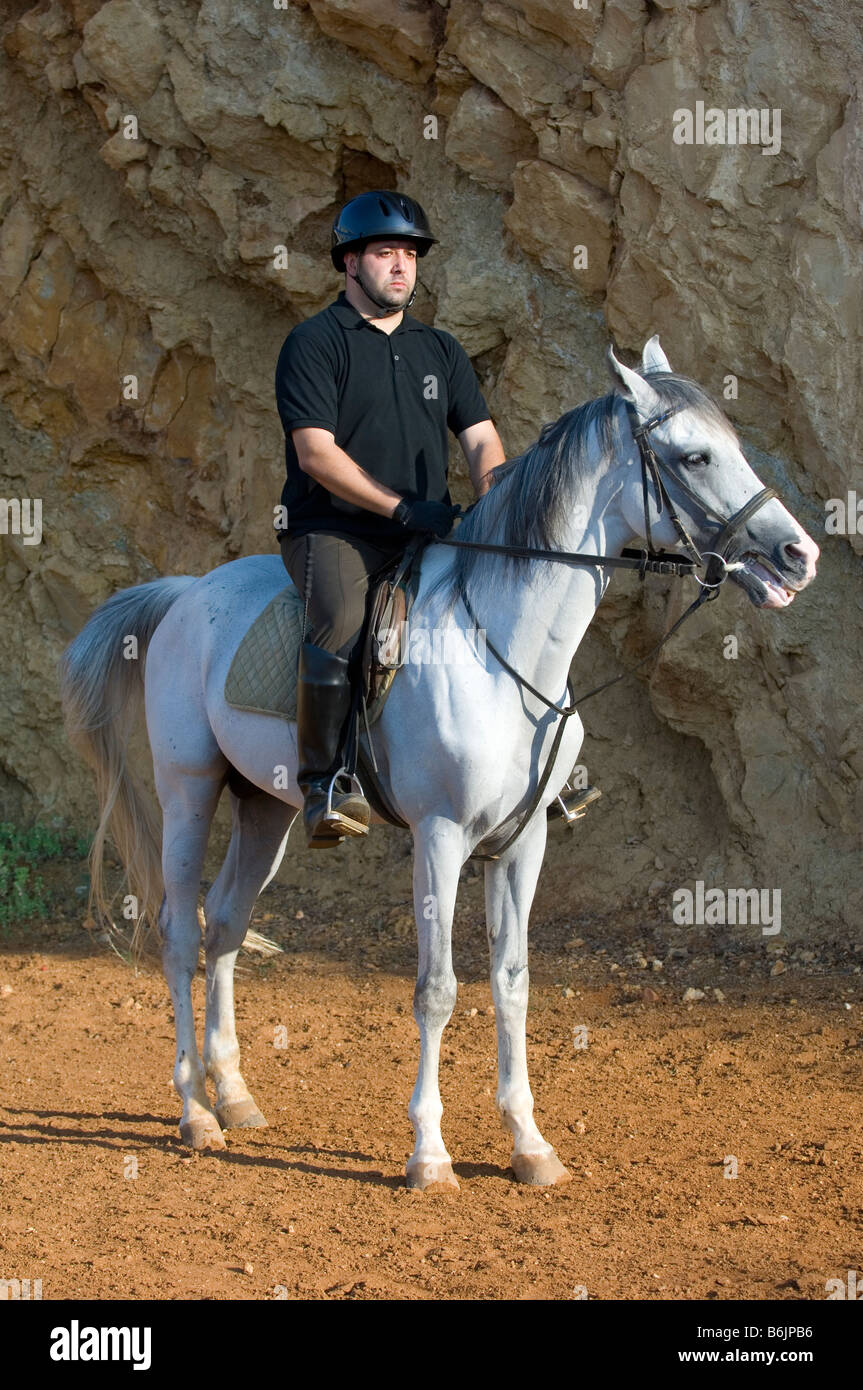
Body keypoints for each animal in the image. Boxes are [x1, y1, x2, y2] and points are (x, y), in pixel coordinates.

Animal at [59, 337, 819, 1189]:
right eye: (693, 456)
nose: (798, 555)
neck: (504, 653)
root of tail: (187, 592)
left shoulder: (522, 844)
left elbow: (512, 985)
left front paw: (529, 1144)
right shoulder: (441, 837)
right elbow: (437, 991)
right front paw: (428, 1153)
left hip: (268, 808)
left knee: (224, 926)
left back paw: (238, 1098)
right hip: (190, 791)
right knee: (179, 934)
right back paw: (195, 1112)